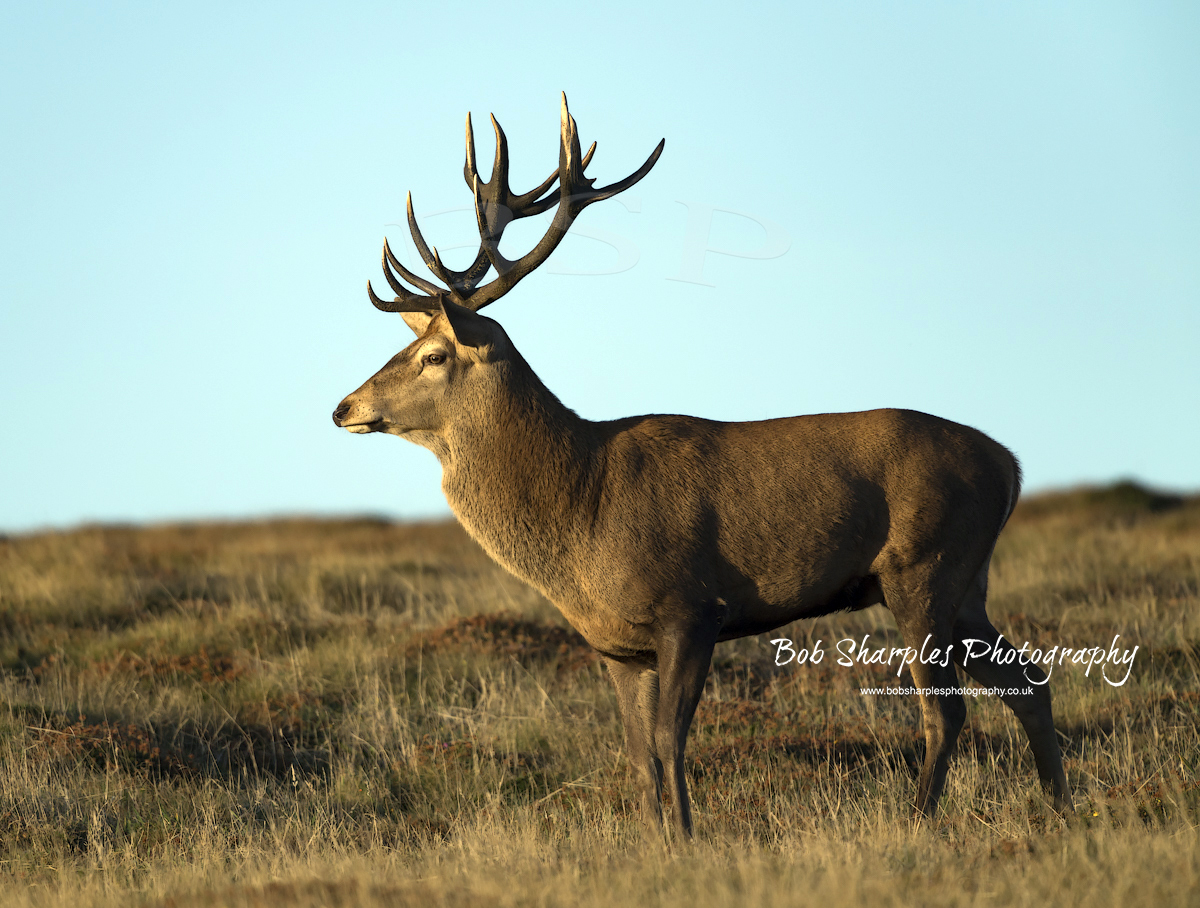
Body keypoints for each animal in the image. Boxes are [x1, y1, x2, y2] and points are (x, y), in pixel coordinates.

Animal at [333, 94, 1072, 839]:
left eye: (434, 356)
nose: (343, 407)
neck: (581, 509)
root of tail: (1009, 466)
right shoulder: (616, 645)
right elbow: (637, 754)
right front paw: (654, 839)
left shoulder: (690, 606)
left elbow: (669, 740)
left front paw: (688, 837)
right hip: (967, 582)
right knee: (1030, 683)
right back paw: (1062, 810)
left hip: (923, 565)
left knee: (945, 708)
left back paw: (918, 822)